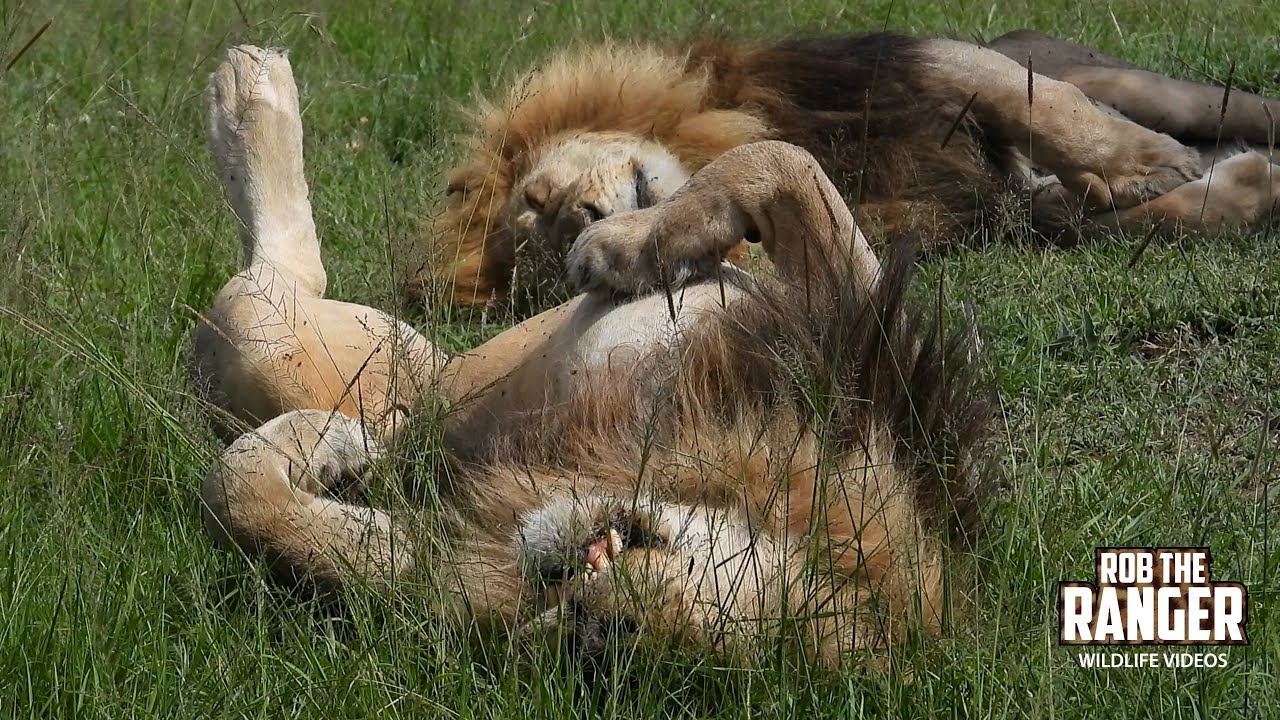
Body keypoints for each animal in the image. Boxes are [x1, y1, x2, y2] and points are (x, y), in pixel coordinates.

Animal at [193, 46, 993, 665]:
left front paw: (331, 450)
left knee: (267, 291)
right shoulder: (857, 348)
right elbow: (778, 159)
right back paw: (251, 83)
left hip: (347, 357)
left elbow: (251, 500)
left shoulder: (465, 560)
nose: (584, 624)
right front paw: (632, 246)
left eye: (625, 654)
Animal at [409, 30, 1280, 310]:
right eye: (545, 240)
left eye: (543, 198)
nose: (582, 221)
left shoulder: (922, 64)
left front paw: (1149, 164)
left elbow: (1052, 111)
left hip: (1129, 79)